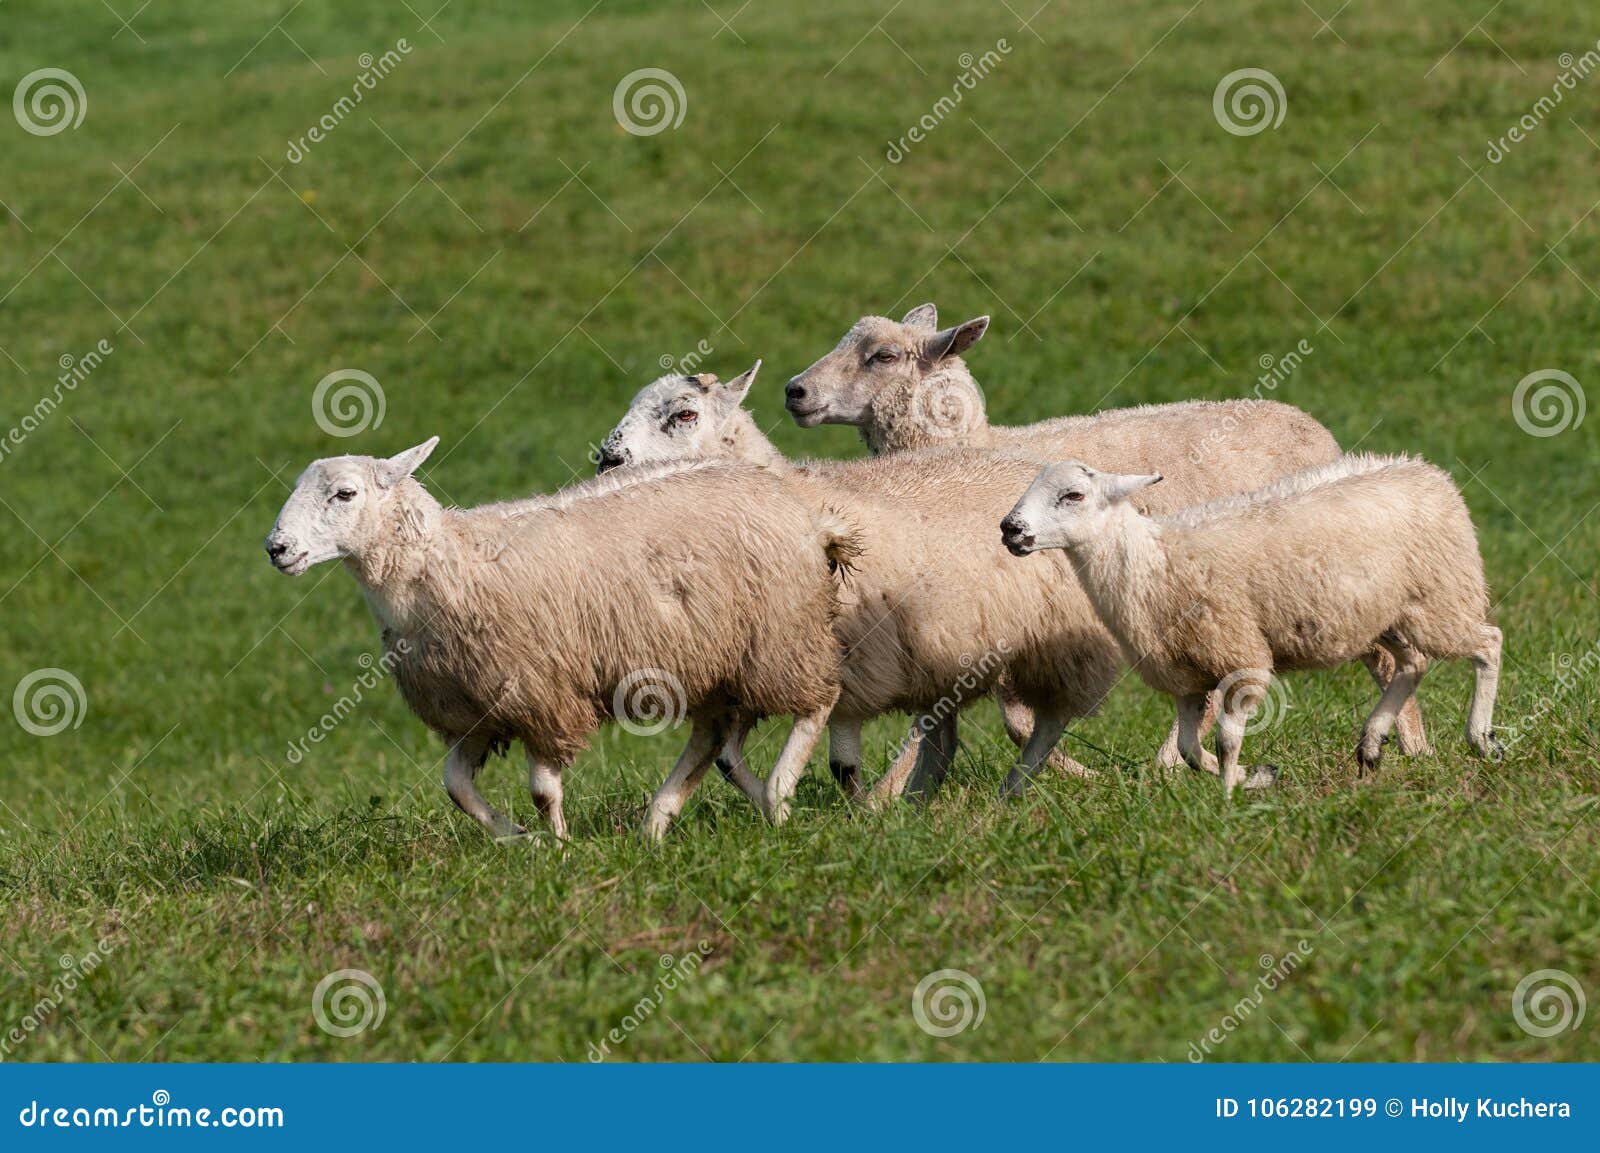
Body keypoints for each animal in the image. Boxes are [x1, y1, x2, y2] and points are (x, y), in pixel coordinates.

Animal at [263, 438, 857, 841]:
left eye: (345, 493)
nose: (276, 548)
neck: (445, 565)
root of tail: (810, 516)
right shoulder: (478, 709)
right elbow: (456, 787)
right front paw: (517, 840)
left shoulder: (541, 695)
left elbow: (541, 790)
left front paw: (560, 847)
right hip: (711, 657)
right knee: (711, 740)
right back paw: (663, 822)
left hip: (781, 633)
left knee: (818, 701)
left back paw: (778, 796)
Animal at [781, 303, 1430, 764]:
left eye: (883, 355)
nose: (794, 390)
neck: (970, 447)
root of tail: (1317, 431)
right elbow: (1003, 717)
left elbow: (1015, 717)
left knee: (1384, 656)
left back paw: (1409, 748)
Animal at [1000, 454, 1503, 795]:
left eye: (1073, 495)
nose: (1010, 529)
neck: (1154, 563)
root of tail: (1428, 472)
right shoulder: (1186, 677)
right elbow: (1189, 749)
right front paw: (1253, 776)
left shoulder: (1242, 657)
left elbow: (1225, 738)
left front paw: (1229, 799)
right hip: (1392, 617)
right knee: (1412, 665)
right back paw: (1373, 742)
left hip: (1439, 599)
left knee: (1488, 644)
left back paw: (1481, 738)